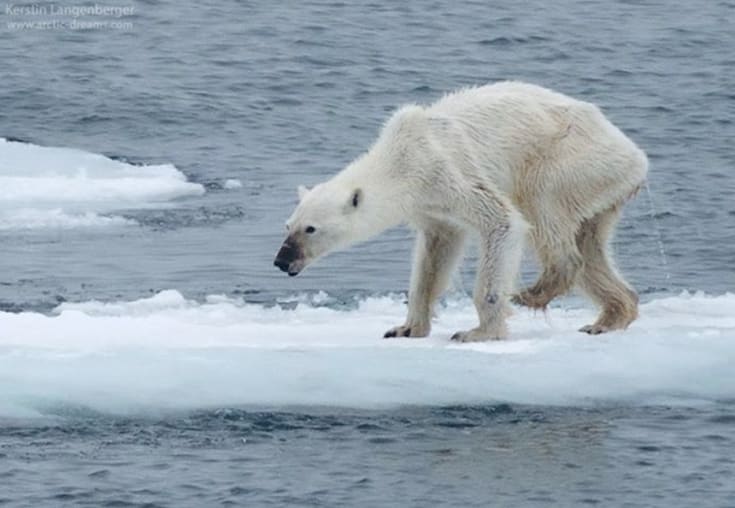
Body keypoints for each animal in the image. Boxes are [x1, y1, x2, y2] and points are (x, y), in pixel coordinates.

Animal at [274, 81, 648, 342]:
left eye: (311, 229)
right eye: (288, 225)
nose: (281, 260)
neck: (401, 158)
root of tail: (636, 156)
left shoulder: (446, 170)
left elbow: (502, 221)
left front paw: (478, 332)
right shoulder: (430, 206)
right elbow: (435, 255)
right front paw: (405, 328)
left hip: (571, 160)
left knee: (543, 206)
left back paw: (534, 292)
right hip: (601, 187)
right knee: (591, 246)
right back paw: (609, 317)